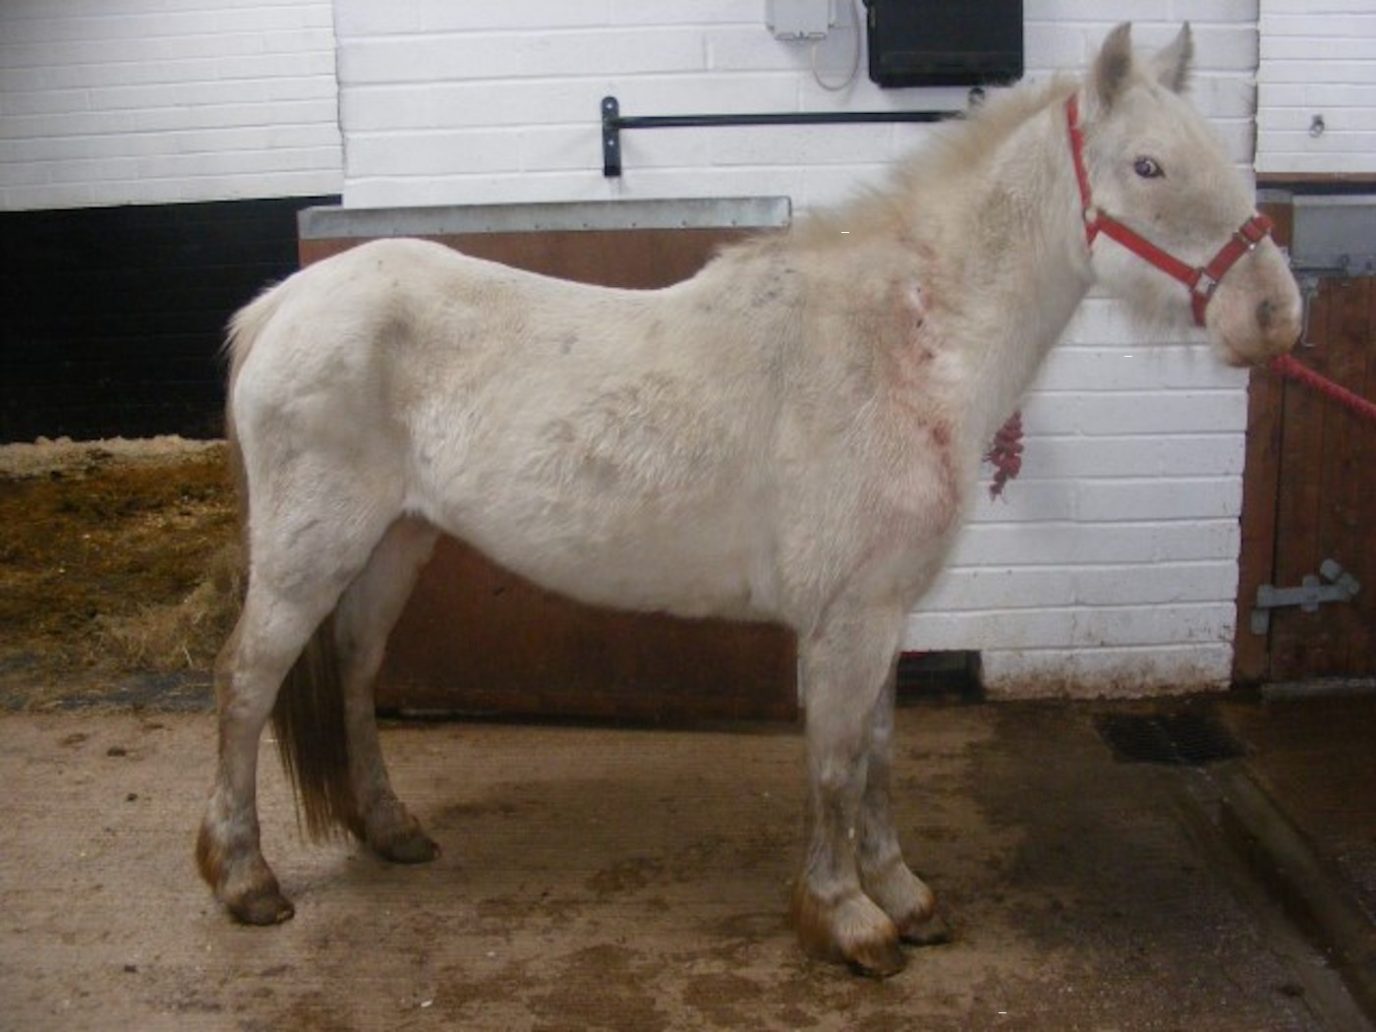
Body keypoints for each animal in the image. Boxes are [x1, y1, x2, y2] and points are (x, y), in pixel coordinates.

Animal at [197, 23, 1301, 977]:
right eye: (1148, 167)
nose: (1274, 317)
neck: (901, 344)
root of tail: (283, 303)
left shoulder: (884, 611)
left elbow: (878, 756)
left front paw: (903, 895)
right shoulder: (845, 619)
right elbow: (833, 764)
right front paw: (848, 922)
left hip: (394, 544)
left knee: (350, 673)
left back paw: (390, 831)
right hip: (312, 551)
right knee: (247, 682)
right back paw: (245, 881)